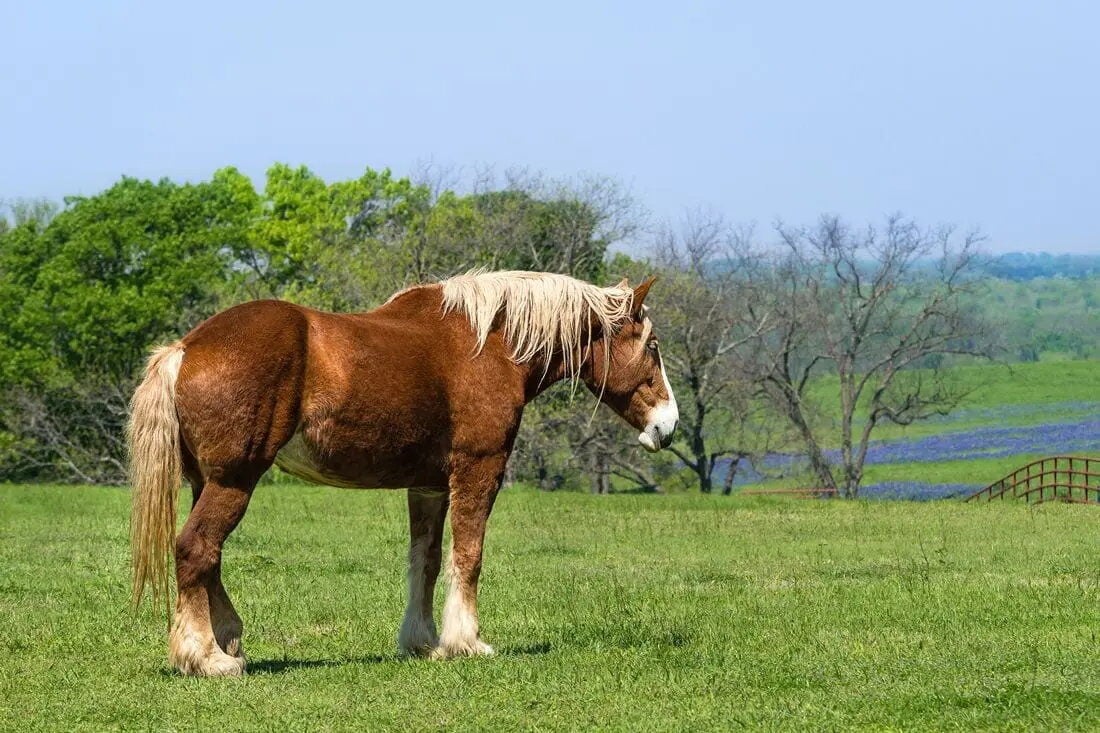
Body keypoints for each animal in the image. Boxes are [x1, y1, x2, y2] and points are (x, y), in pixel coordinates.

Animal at [128, 270, 679, 676]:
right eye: (652, 345)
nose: (667, 426)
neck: (490, 344)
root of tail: (185, 349)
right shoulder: (479, 469)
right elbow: (468, 556)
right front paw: (467, 642)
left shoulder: (429, 486)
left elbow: (427, 561)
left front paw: (423, 641)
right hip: (234, 481)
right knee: (196, 549)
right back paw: (206, 657)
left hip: (208, 482)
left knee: (209, 558)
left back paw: (227, 641)